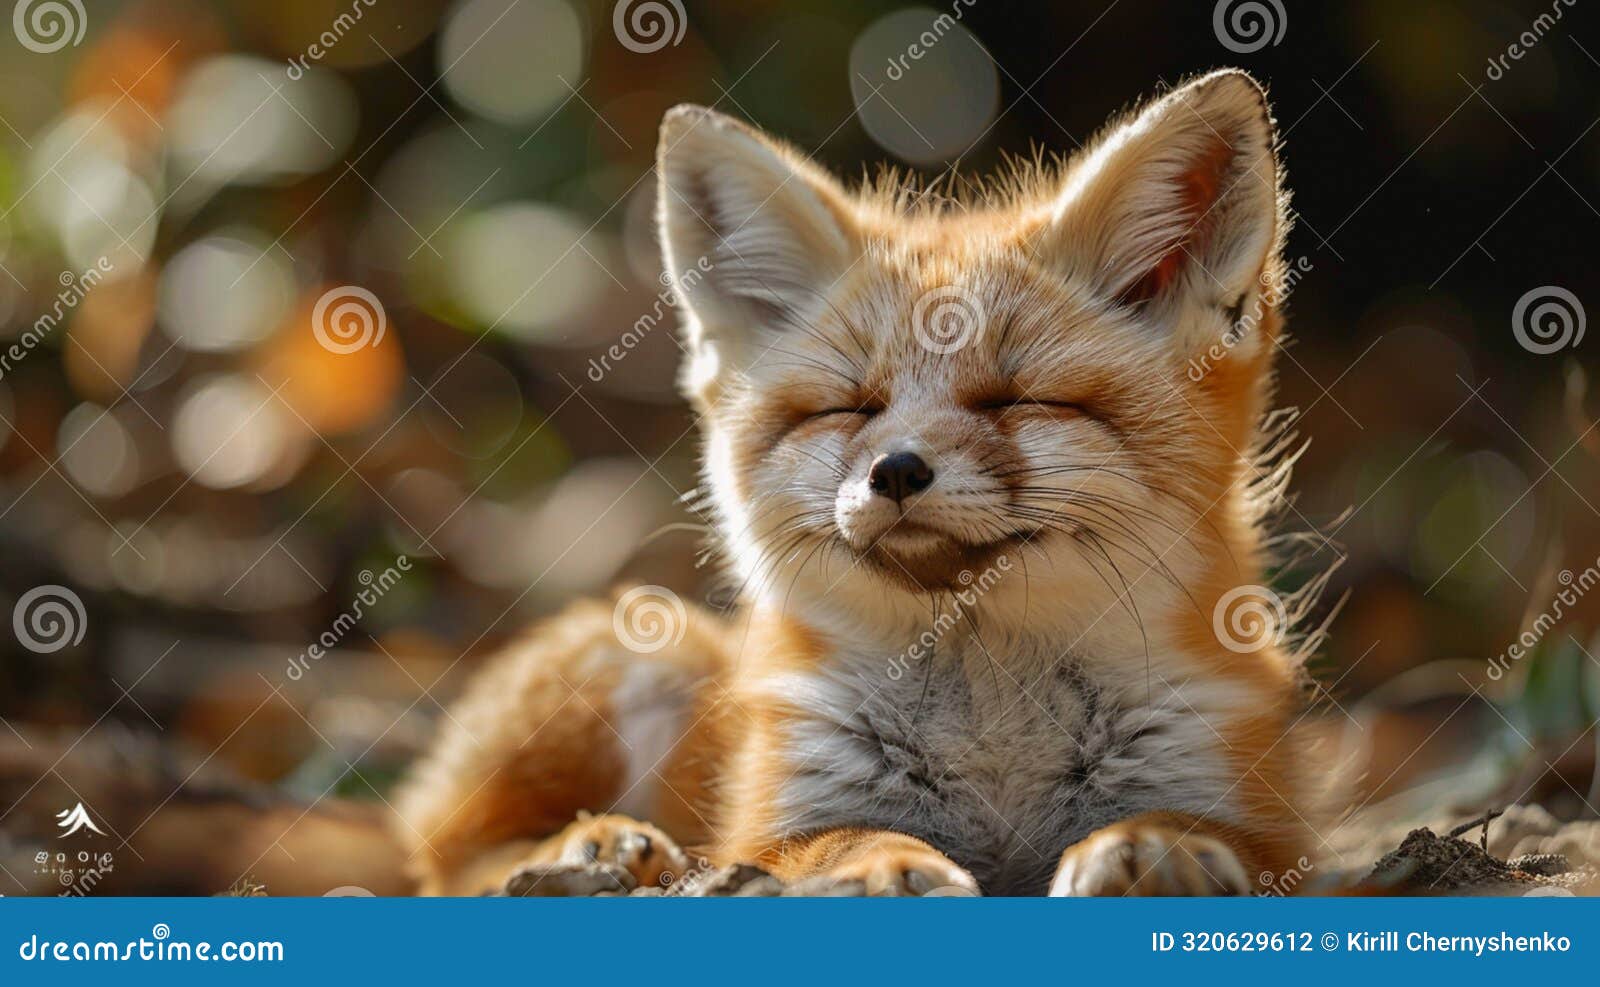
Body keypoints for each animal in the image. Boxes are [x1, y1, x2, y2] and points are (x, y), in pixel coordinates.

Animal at [393, 68, 1328, 897]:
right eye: (849, 409)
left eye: (1018, 400)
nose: (896, 468)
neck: (995, 737)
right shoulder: (776, 821)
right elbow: (843, 838)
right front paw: (886, 865)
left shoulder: (1253, 807)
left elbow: (1203, 828)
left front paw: (1153, 845)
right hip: (643, 646)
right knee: (451, 856)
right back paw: (587, 847)